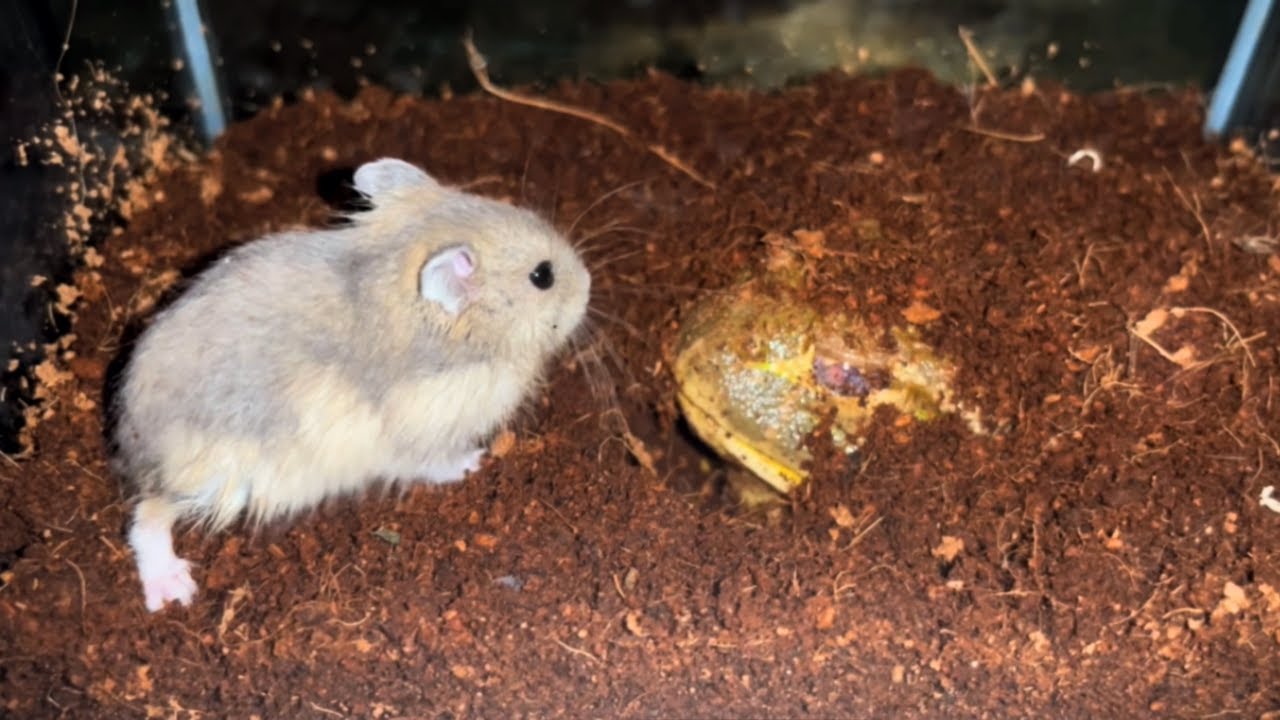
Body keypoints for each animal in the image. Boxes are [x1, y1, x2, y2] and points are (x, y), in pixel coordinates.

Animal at [113, 158, 591, 612]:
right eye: (542, 276)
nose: (590, 282)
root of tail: (131, 445)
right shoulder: (421, 441)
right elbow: (439, 463)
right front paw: (477, 460)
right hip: (211, 479)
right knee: (147, 516)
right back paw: (171, 591)